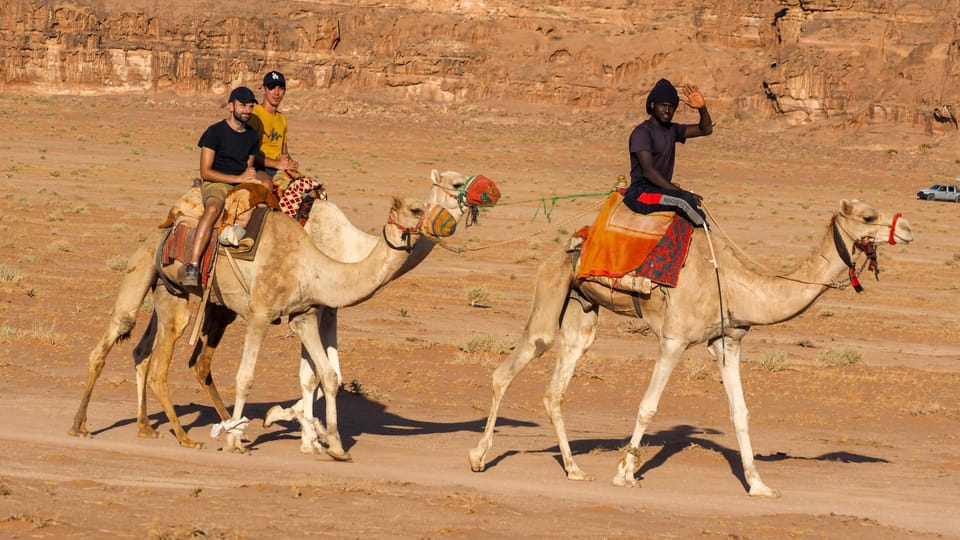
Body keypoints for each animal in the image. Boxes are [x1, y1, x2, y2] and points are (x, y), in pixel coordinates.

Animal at [468, 199, 913, 497]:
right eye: (868, 216)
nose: (908, 227)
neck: (732, 283)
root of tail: (566, 247)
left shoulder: (727, 341)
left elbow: (740, 413)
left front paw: (758, 485)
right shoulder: (674, 339)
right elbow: (648, 406)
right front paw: (625, 472)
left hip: (583, 308)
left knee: (556, 386)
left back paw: (575, 470)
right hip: (551, 289)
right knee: (513, 364)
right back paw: (478, 457)